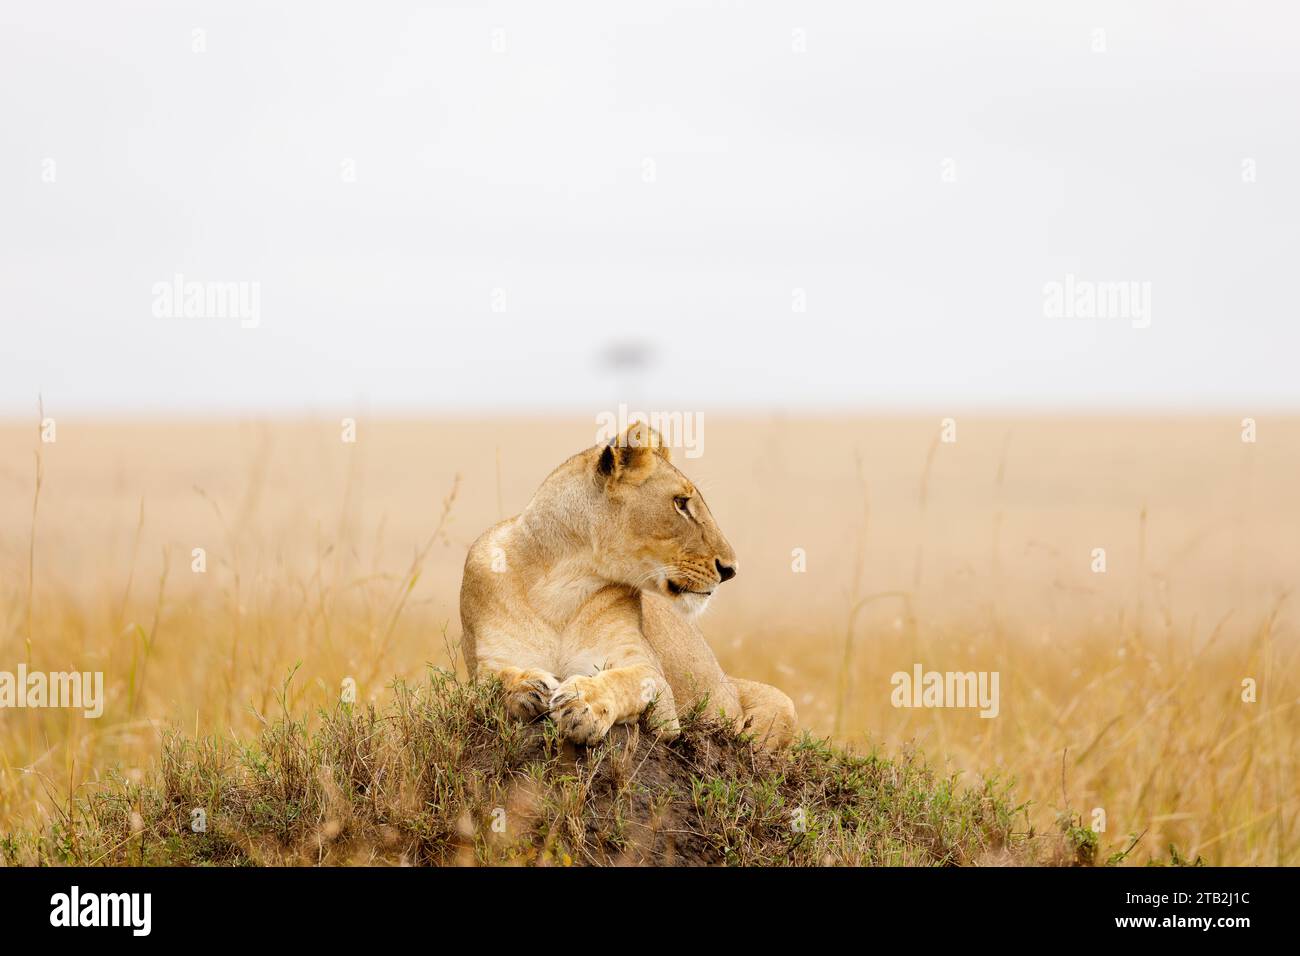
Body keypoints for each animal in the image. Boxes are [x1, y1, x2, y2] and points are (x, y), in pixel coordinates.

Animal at [459, 421, 797, 748]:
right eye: (681, 503)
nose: (730, 570)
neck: (559, 584)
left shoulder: (654, 686)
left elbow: (627, 679)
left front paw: (583, 702)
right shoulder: (487, 661)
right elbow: (491, 681)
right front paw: (528, 687)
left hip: (782, 704)